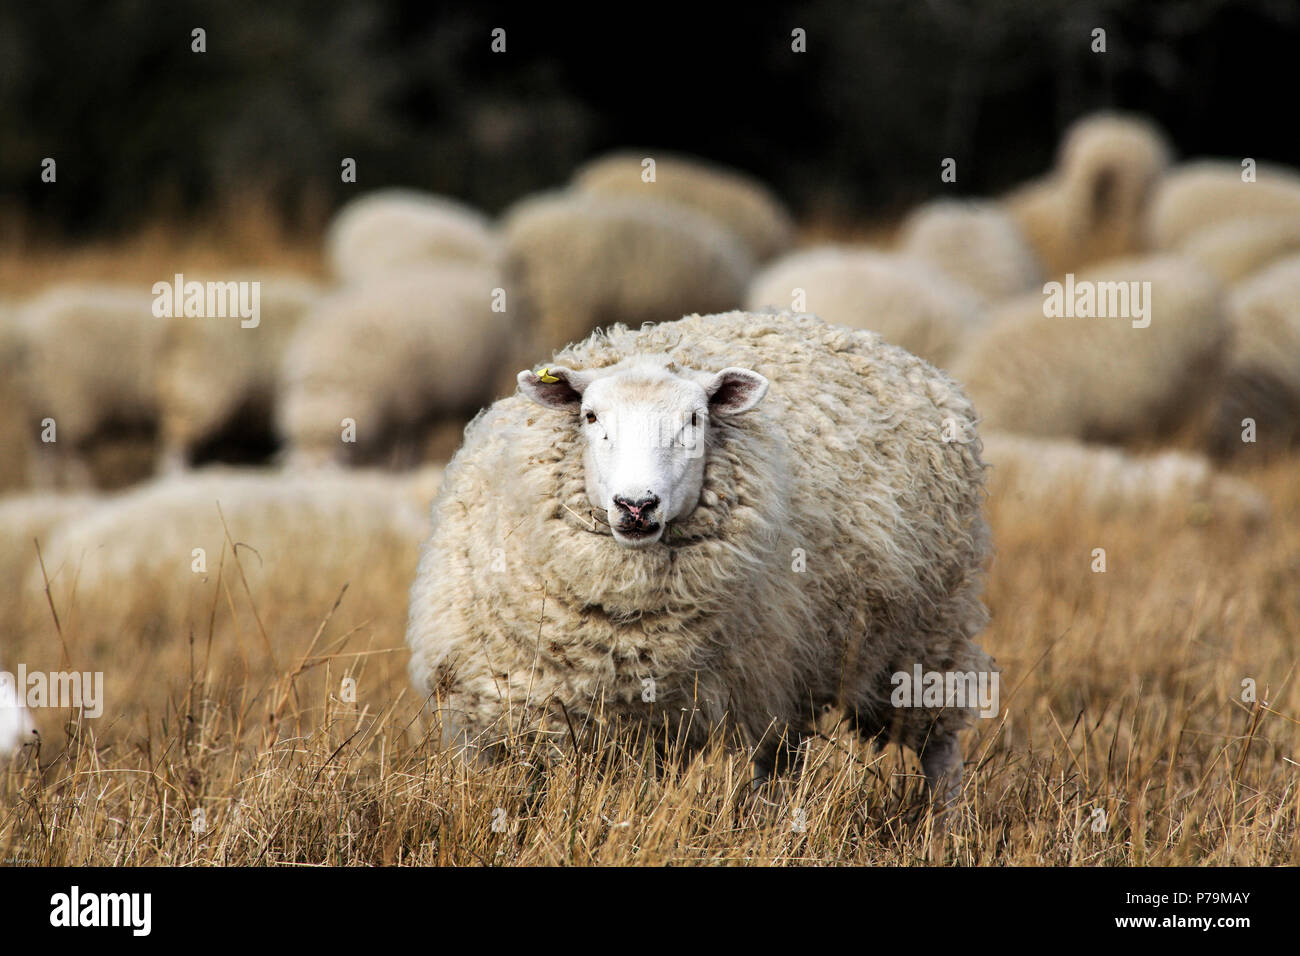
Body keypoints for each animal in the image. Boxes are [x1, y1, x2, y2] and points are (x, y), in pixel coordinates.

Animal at [406, 309, 996, 804]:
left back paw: (944, 828)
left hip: (926, 635)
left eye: (694, 420)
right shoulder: (491, 707)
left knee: (936, 747)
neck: (620, 624)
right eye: (591, 416)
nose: (636, 505)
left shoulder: (702, 709)